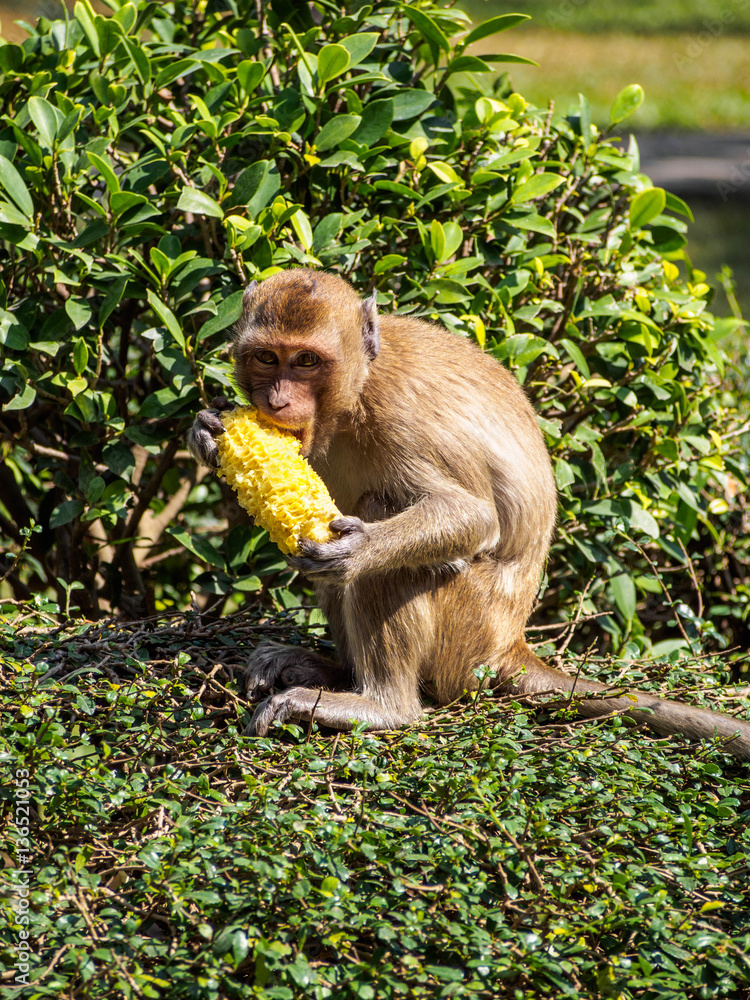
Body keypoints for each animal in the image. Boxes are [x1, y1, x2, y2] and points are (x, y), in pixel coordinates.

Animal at [188, 268, 750, 760]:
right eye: (266, 357)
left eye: (306, 361)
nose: (277, 401)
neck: (352, 397)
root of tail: (509, 644)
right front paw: (208, 434)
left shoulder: (400, 414)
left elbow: (474, 517)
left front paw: (354, 549)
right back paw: (331, 671)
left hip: (469, 628)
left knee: (384, 534)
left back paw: (382, 705)